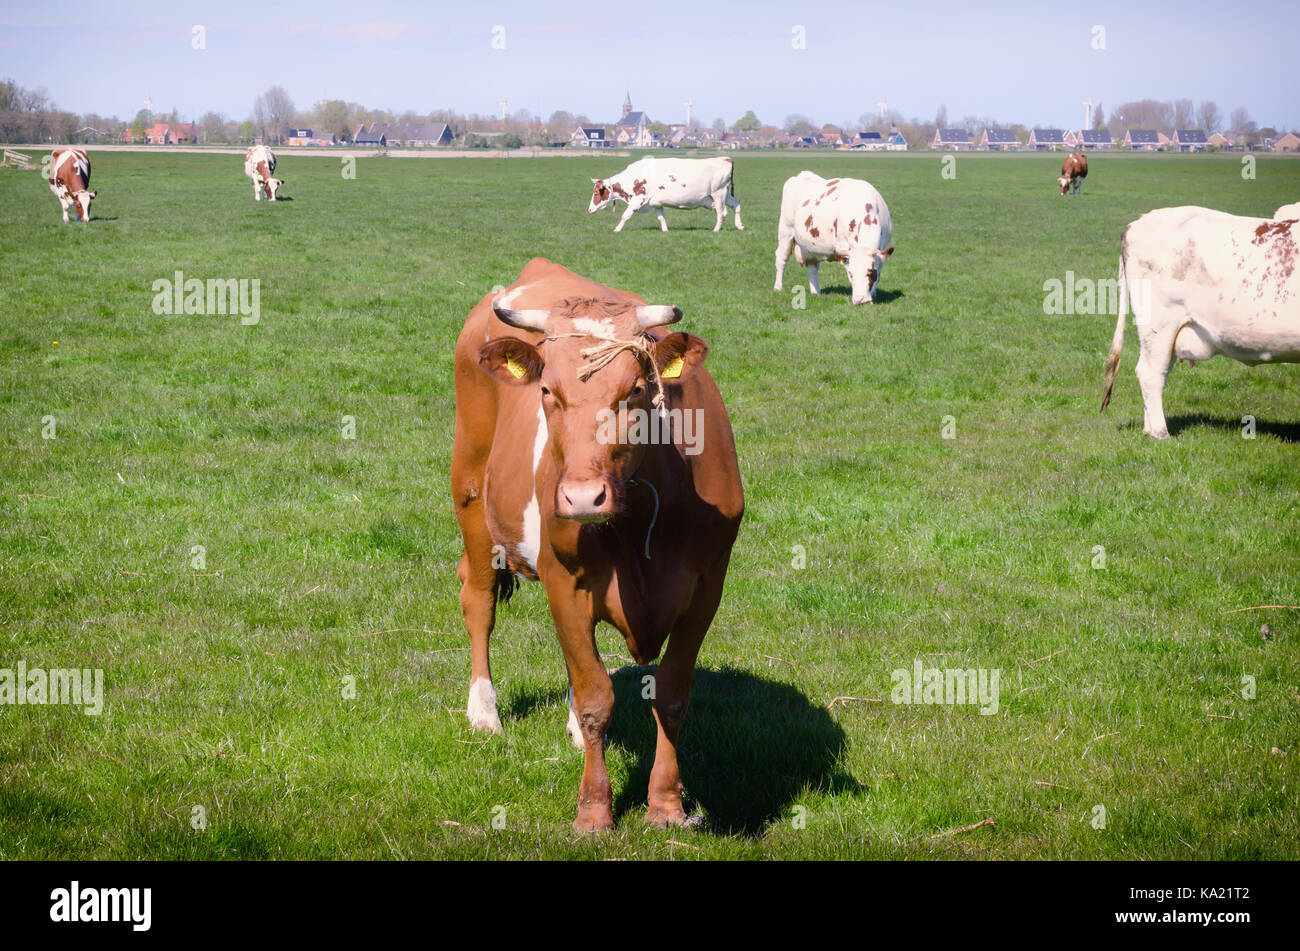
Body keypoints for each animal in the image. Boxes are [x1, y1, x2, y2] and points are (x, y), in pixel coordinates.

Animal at [451, 257, 744, 831]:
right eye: (547, 392)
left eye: (634, 390)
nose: (583, 497)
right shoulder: (565, 580)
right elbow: (594, 699)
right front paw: (593, 812)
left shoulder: (707, 587)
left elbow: (670, 696)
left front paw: (667, 807)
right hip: (470, 496)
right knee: (477, 601)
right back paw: (483, 711)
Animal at [588, 156, 742, 233]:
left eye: (596, 192)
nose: (589, 209)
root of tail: (725, 158)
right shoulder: (656, 203)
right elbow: (661, 218)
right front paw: (665, 231)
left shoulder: (638, 199)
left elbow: (625, 215)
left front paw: (616, 230)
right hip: (725, 195)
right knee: (736, 204)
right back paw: (739, 226)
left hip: (718, 194)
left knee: (722, 213)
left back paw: (715, 230)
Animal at [774, 171, 894, 305]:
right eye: (851, 274)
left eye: (871, 273)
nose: (859, 300)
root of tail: (802, 174)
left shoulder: (882, 252)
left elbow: (879, 275)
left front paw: (872, 295)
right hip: (785, 232)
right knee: (781, 259)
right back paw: (778, 287)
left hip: (809, 246)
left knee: (811, 267)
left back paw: (816, 293)